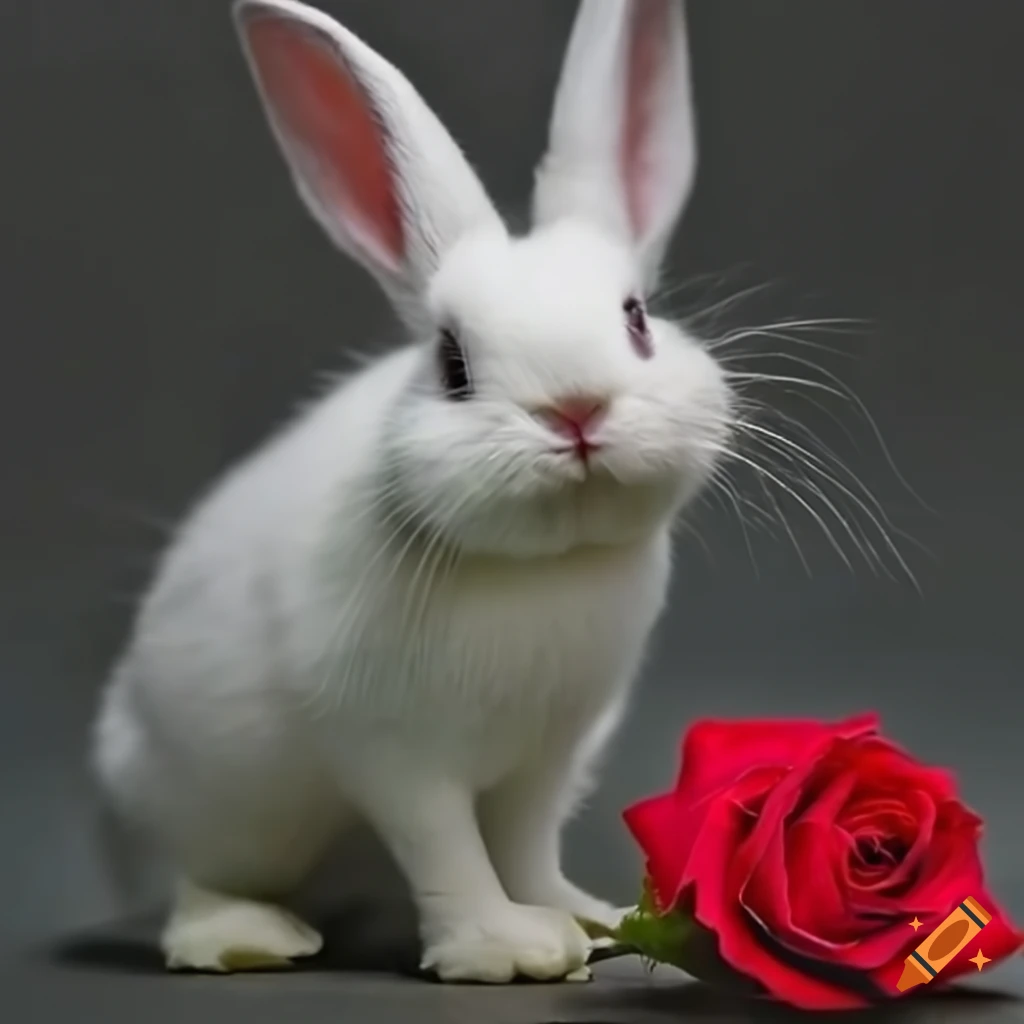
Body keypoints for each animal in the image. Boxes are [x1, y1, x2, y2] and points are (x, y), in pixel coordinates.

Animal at [91, 0, 734, 984]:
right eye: (452, 363)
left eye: (636, 321)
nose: (576, 409)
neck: (546, 568)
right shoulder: (393, 751)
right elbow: (449, 851)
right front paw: (507, 948)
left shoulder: (546, 756)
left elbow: (524, 846)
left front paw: (583, 923)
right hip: (217, 809)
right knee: (190, 886)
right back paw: (245, 938)